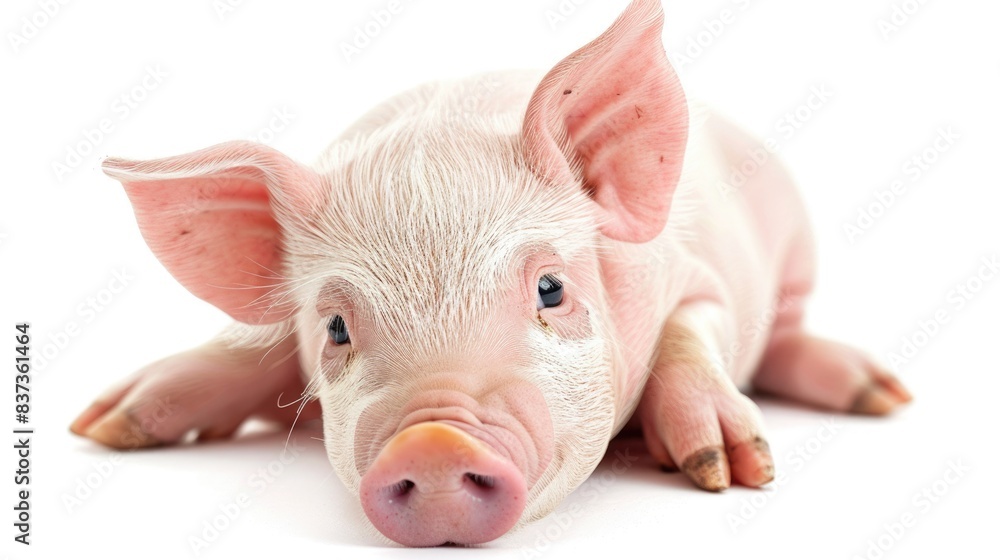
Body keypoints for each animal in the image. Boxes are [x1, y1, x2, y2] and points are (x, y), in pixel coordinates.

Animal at [70, 0, 912, 547]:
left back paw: (880, 394)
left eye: (551, 289)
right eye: (336, 327)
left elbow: (696, 330)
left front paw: (730, 473)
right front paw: (102, 428)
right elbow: (256, 347)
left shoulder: (699, 274)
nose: (436, 442)